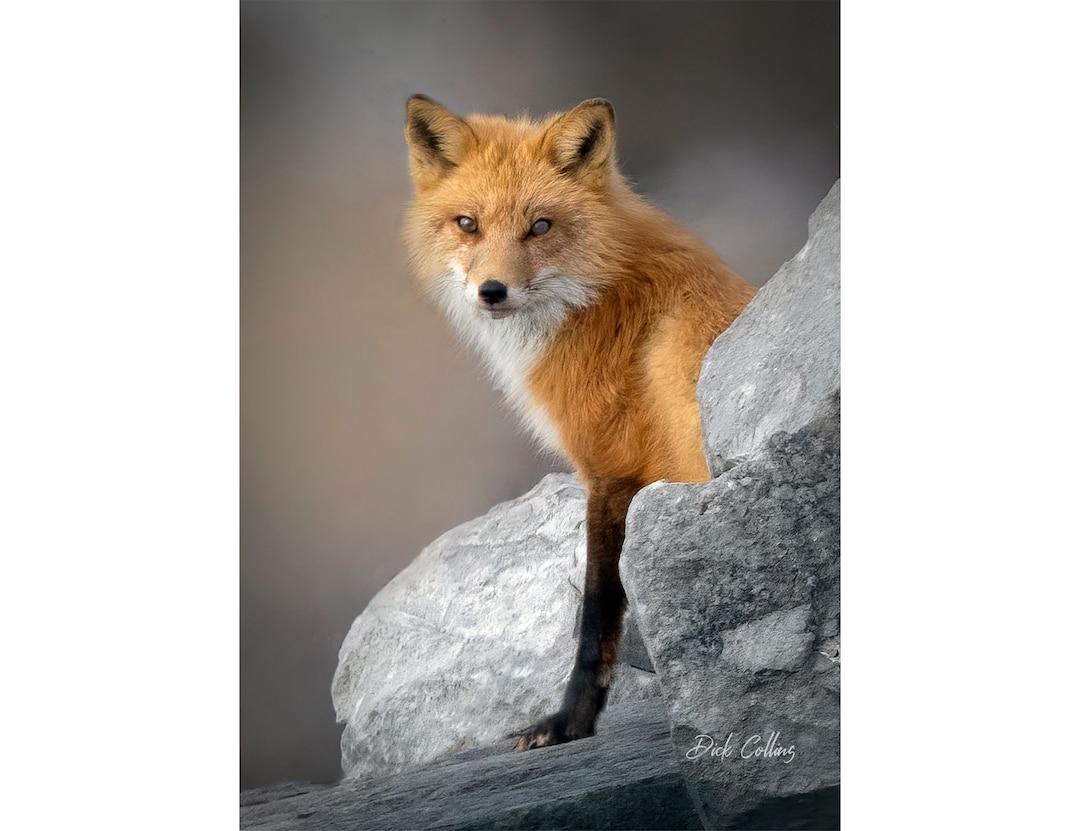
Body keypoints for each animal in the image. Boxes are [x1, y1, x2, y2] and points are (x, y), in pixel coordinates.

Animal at [402, 95, 757, 751]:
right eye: (468, 224)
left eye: (540, 226)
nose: (492, 291)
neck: (597, 293)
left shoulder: (613, 472)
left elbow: (596, 612)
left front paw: (570, 722)